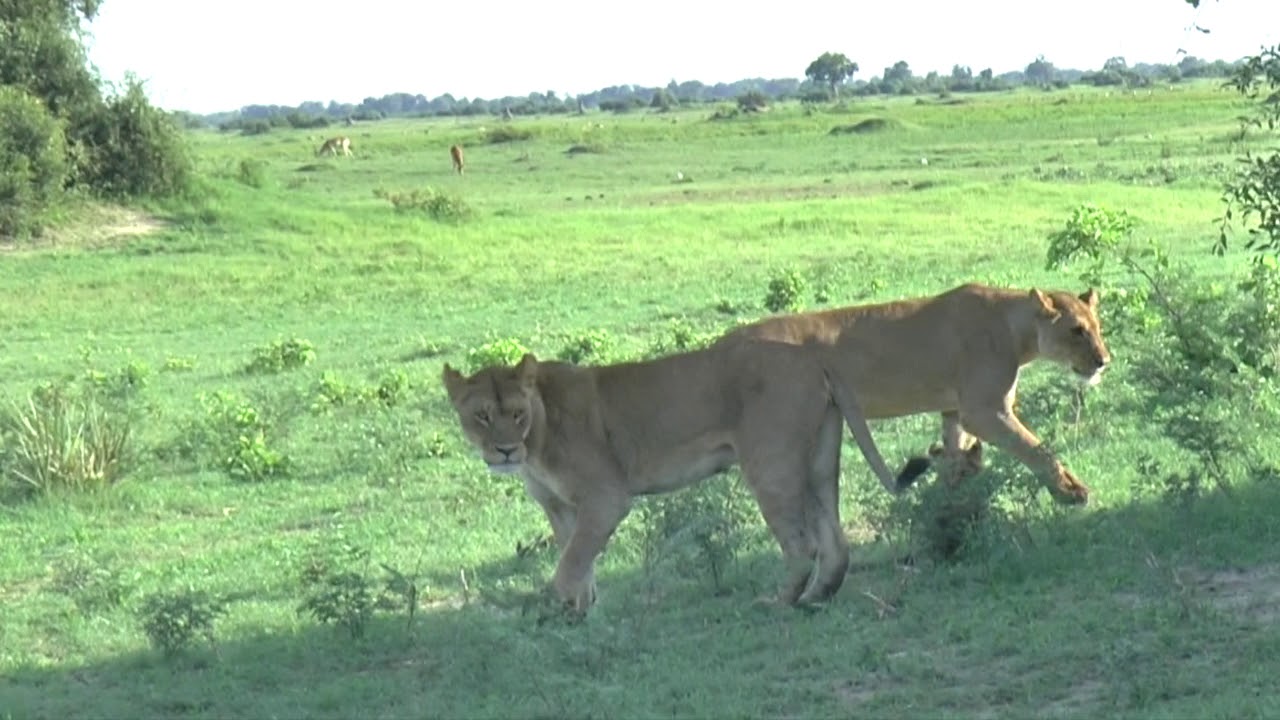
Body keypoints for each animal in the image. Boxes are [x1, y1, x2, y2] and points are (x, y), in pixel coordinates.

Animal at [441, 338, 902, 614]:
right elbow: (579, 559)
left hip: (771, 465)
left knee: (803, 545)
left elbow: (569, 564)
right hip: (819, 461)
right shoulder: (561, 506)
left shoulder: (606, 498)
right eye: (481, 416)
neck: (536, 439)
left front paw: (566, 612)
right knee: (835, 542)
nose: (504, 450)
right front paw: (582, 612)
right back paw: (817, 598)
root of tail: (812, 354)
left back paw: (778, 603)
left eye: (516, 414)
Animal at [722, 283, 1111, 505]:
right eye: (1077, 330)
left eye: (1097, 327)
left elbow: (956, 452)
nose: (1104, 360)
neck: (1018, 330)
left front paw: (951, 498)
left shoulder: (955, 410)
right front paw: (1071, 493)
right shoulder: (985, 411)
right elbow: (1038, 450)